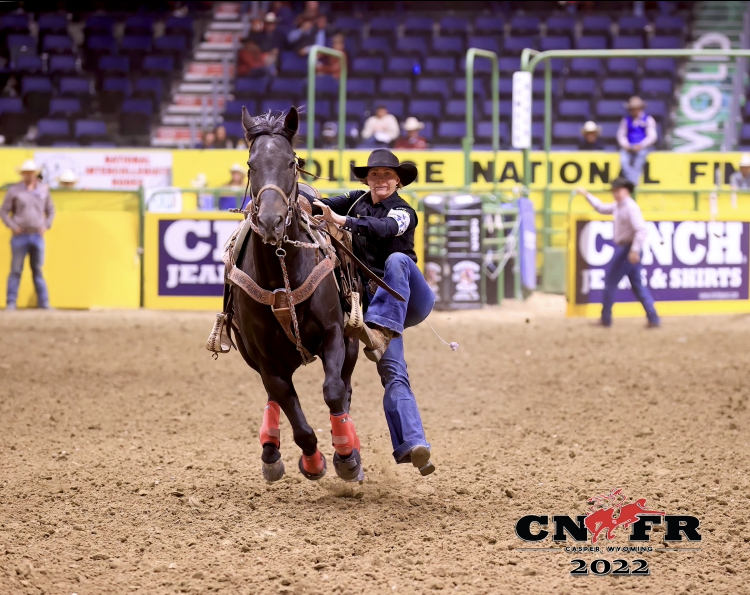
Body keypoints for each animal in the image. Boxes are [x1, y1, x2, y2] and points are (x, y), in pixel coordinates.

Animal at [230, 106, 363, 483]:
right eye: (251, 164)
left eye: (291, 162)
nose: (270, 220)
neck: (282, 271)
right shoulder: (264, 359)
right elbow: (293, 414)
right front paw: (313, 461)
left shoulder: (334, 335)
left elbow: (333, 391)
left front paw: (346, 456)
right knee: (274, 398)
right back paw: (270, 450)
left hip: (351, 340)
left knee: (345, 388)